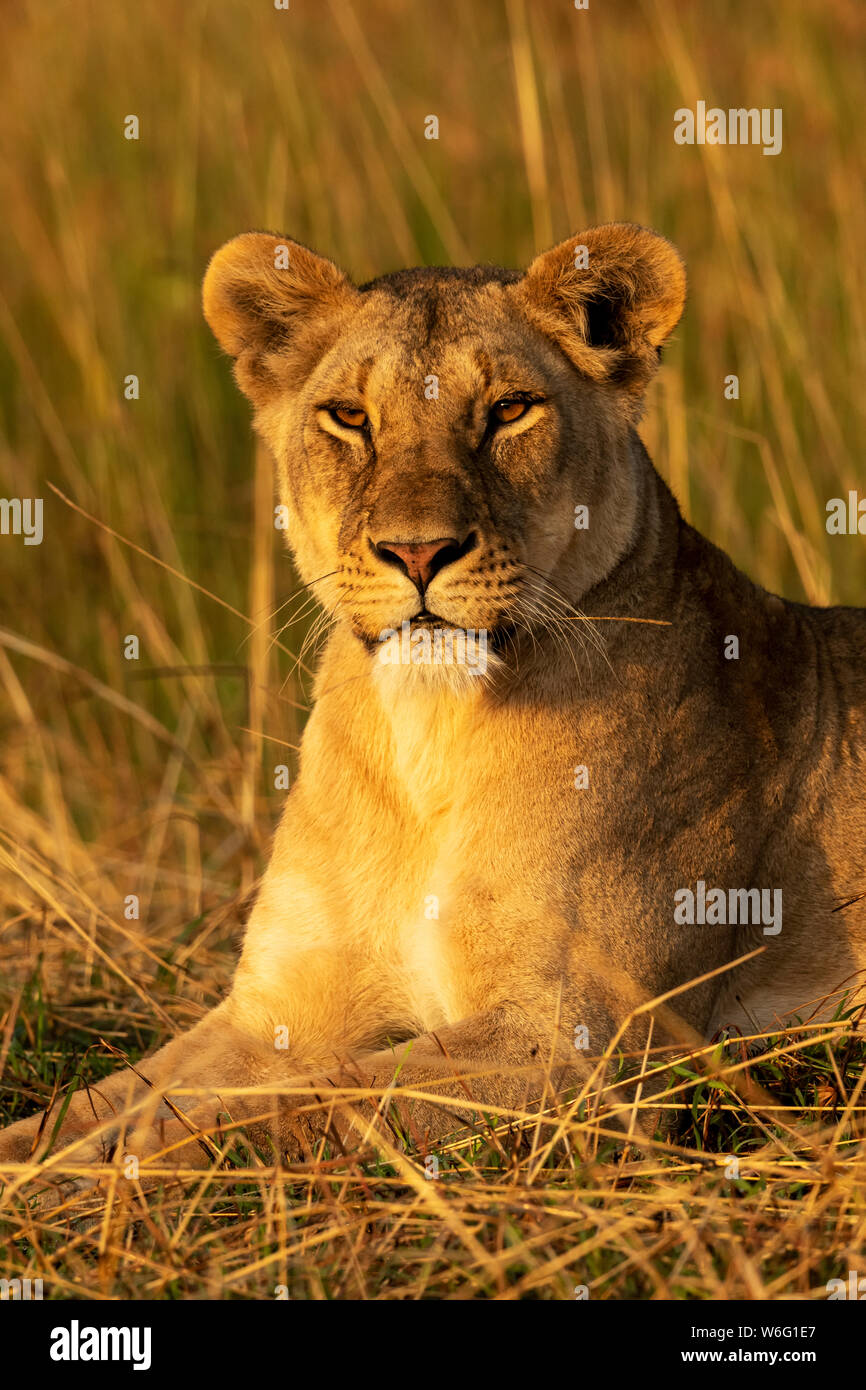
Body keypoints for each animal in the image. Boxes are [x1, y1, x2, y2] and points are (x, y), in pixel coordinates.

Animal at [1, 222, 865, 1179]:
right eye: (349, 417)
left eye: (510, 410)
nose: (418, 552)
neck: (426, 735)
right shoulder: (275, 1010)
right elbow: (93, 1107)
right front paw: (40, 1161)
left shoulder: (586, 1050)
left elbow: (285, 1110)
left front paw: (94, 1179)